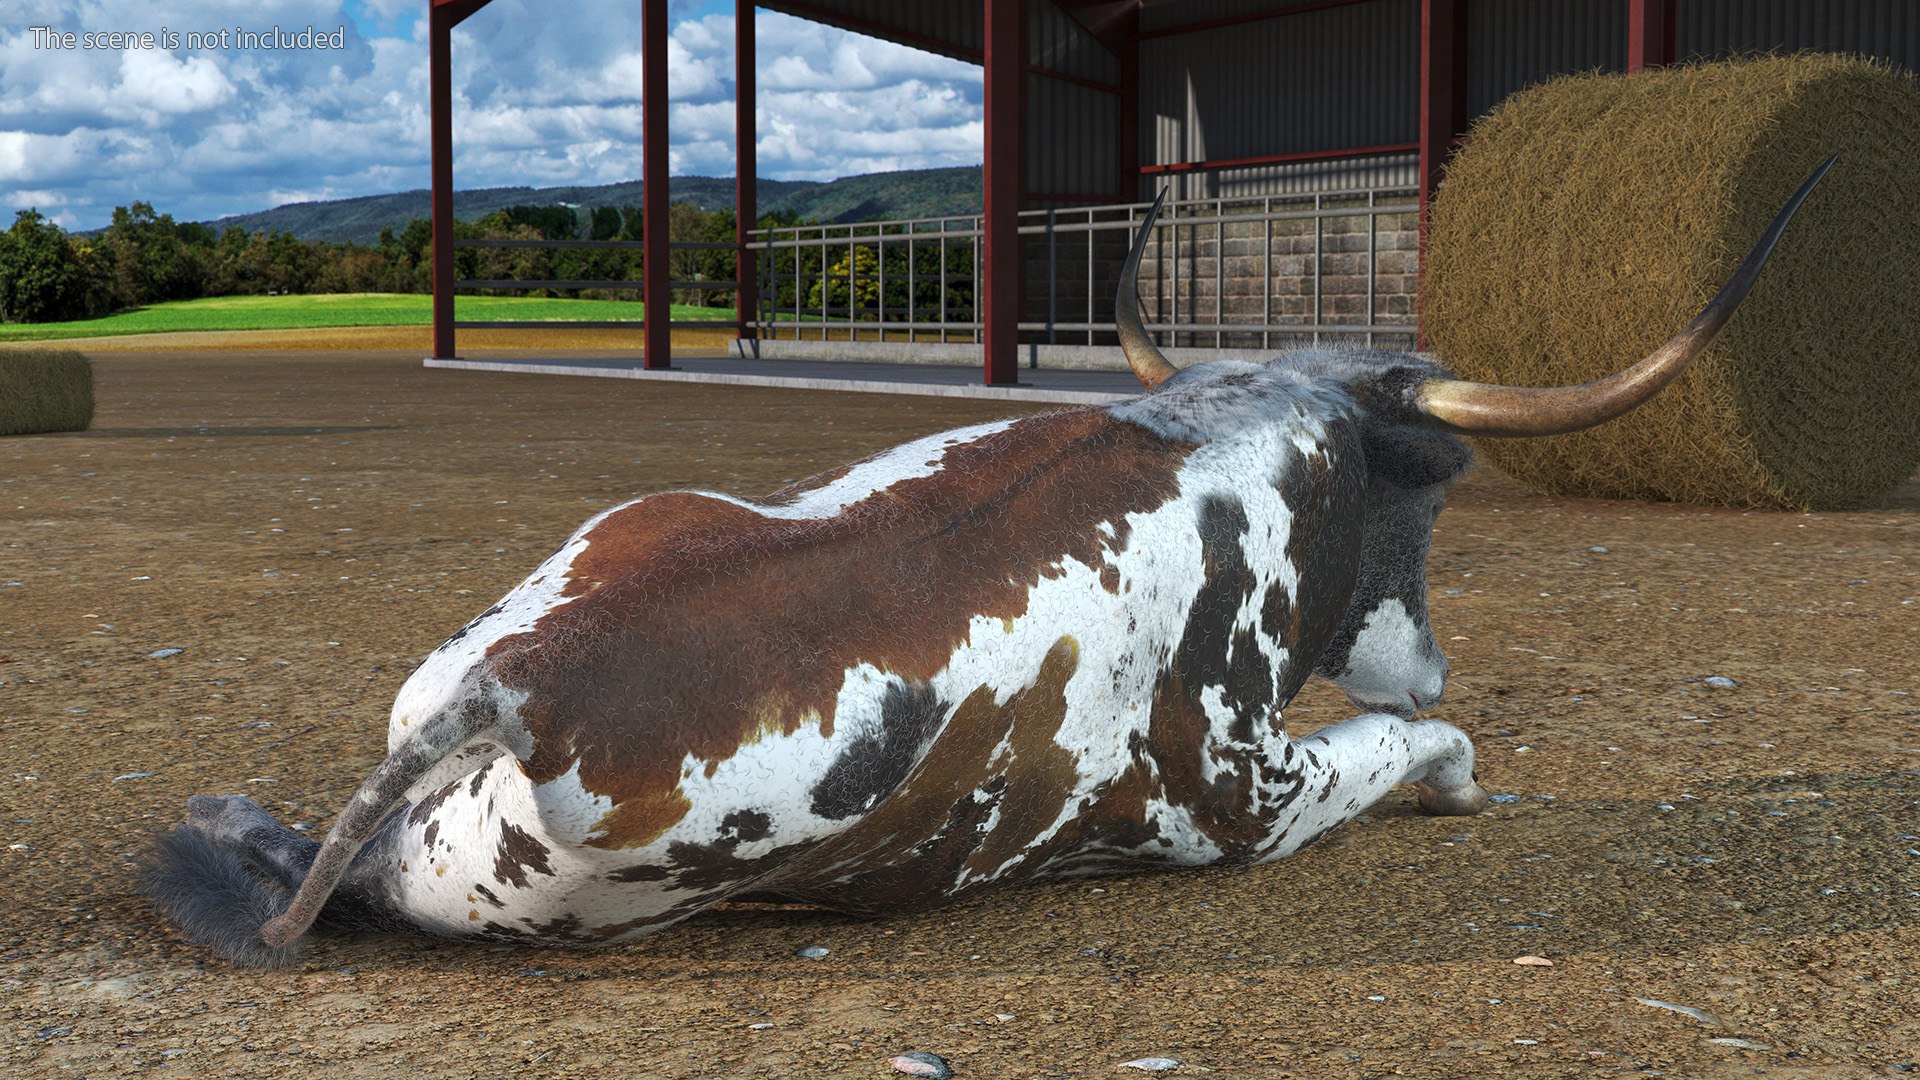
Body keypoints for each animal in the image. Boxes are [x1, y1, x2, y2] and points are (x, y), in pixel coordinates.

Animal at [145, 159, 1832, 967]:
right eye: (1432, 497)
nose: (1431, 648)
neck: (1251, 433)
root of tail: (510, 681)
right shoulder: (1247, 800)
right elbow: (1411, 743)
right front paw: (1461, 766)